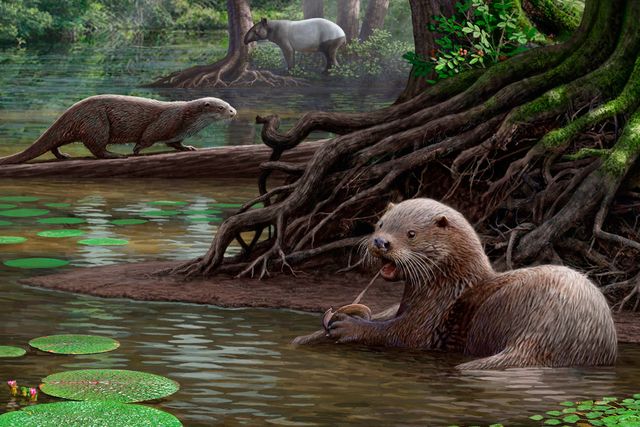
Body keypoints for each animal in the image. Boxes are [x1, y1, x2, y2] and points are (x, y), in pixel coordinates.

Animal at [0, 95, 237, 165]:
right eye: (221, 107)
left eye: (228, 104)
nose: (234, 111)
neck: (187, 119)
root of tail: (69, 112)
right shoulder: (166, 121)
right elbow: (147, 136)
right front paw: (135, 151)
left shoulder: (176, 133)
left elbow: (175, 143)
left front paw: (188, 148)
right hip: (96, 123)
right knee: (96, 148)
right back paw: (115, 154)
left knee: (56, 144)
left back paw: (64, 155)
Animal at [295, 198, 617, 370]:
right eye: (381, 224)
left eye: (411, 233)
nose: (380, 242)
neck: (450, 285)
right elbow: (388, 316)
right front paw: (311, 333)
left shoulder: (431, 318)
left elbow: (401, 335)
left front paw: (348, 326)